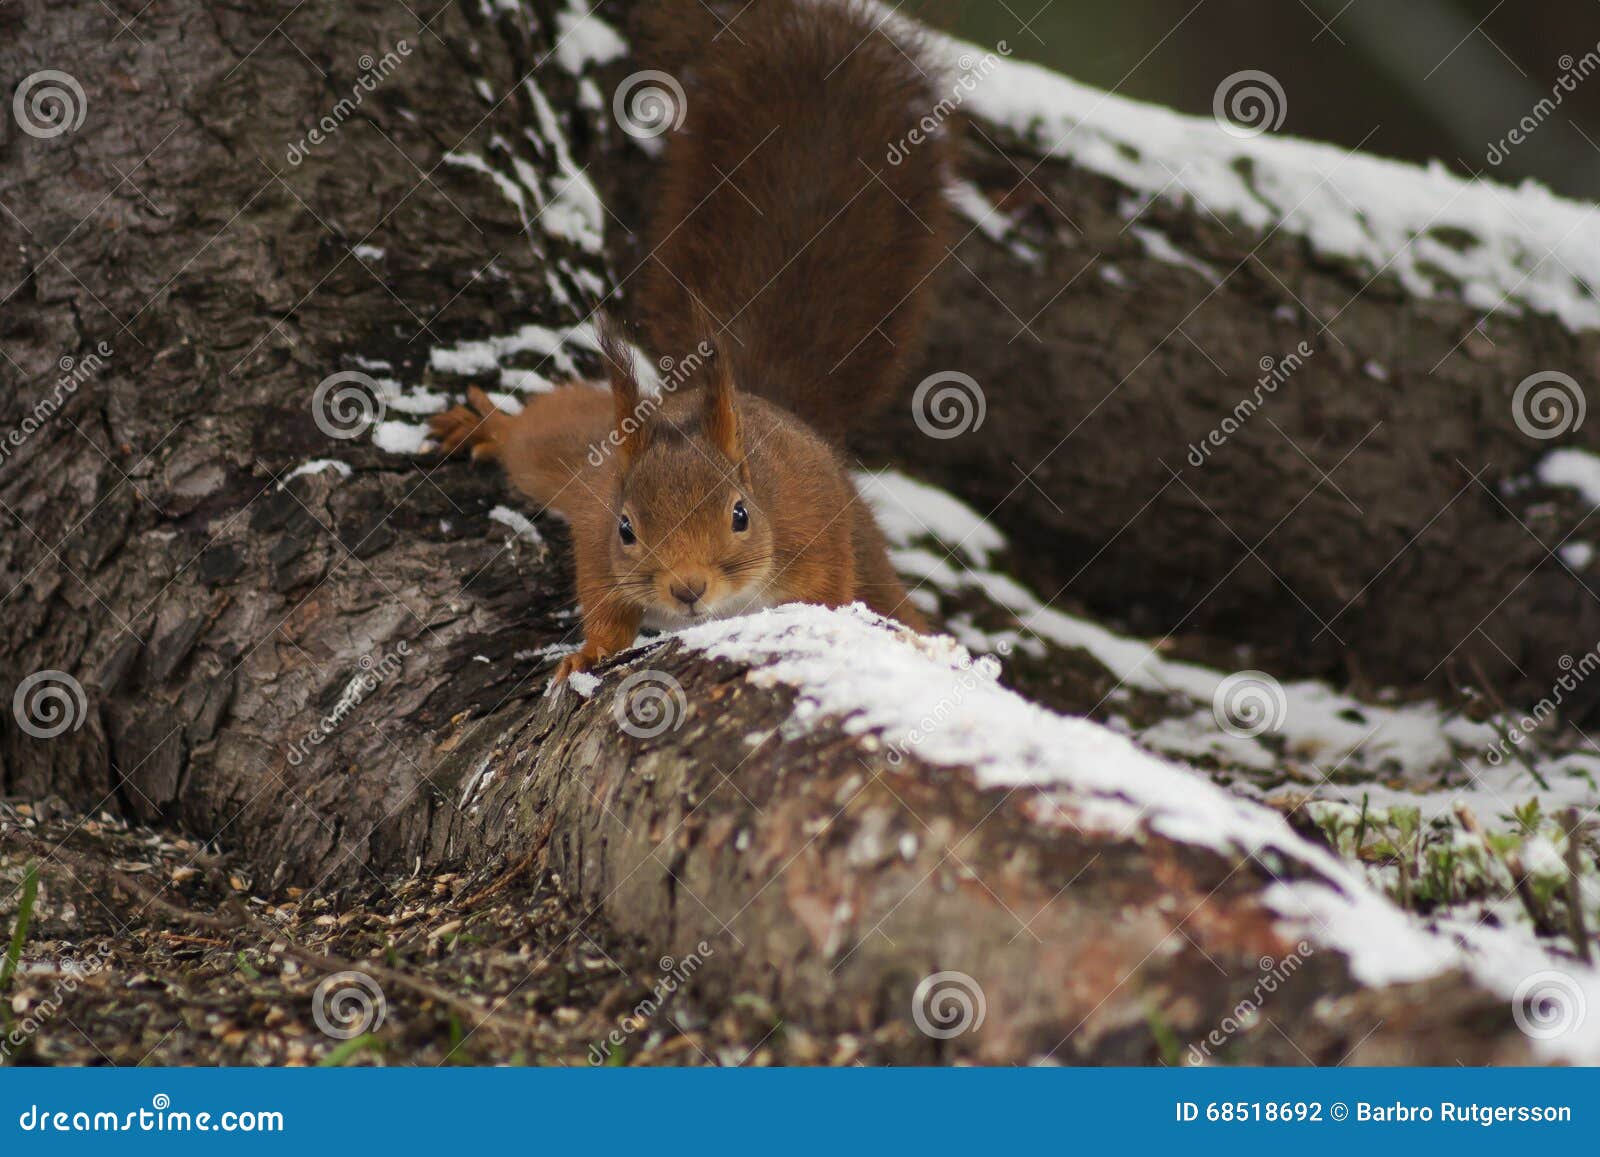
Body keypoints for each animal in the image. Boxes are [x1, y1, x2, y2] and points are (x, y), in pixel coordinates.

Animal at [430, 0, 954, 680]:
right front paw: (592, 651)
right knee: (534, 440)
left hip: (862, 539)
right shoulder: (599, 525)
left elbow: (828, 591)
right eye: (628, 529)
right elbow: (603, 599)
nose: (687, 588)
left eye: (740, 515)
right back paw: (486, 425)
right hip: (572, 455)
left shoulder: (816, 535)